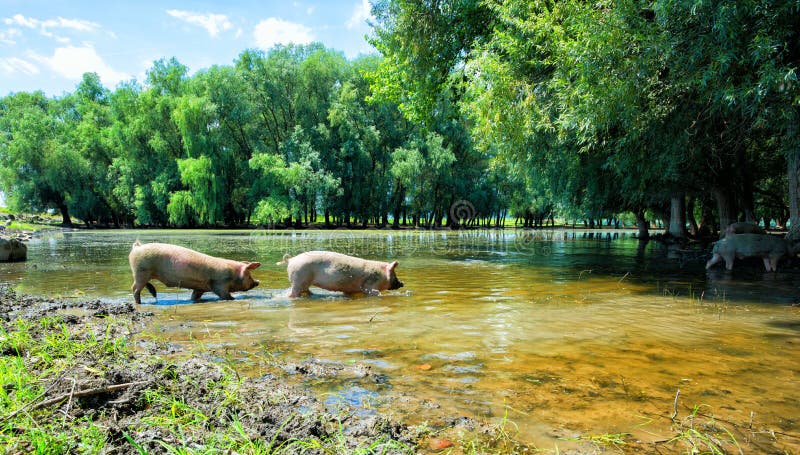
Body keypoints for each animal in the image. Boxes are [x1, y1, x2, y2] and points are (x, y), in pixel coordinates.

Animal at [129, 241, 260, 304]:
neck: (233, 274)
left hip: (143, 274)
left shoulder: (200, 287)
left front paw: (192, 300)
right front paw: (233, 299)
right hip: (141, 272)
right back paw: (139, 303)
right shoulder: (219, 284)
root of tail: (136, 247)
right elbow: (225, 296)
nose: (258, 282)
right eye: (249, 275)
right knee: (134, 289)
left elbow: (194, 296)